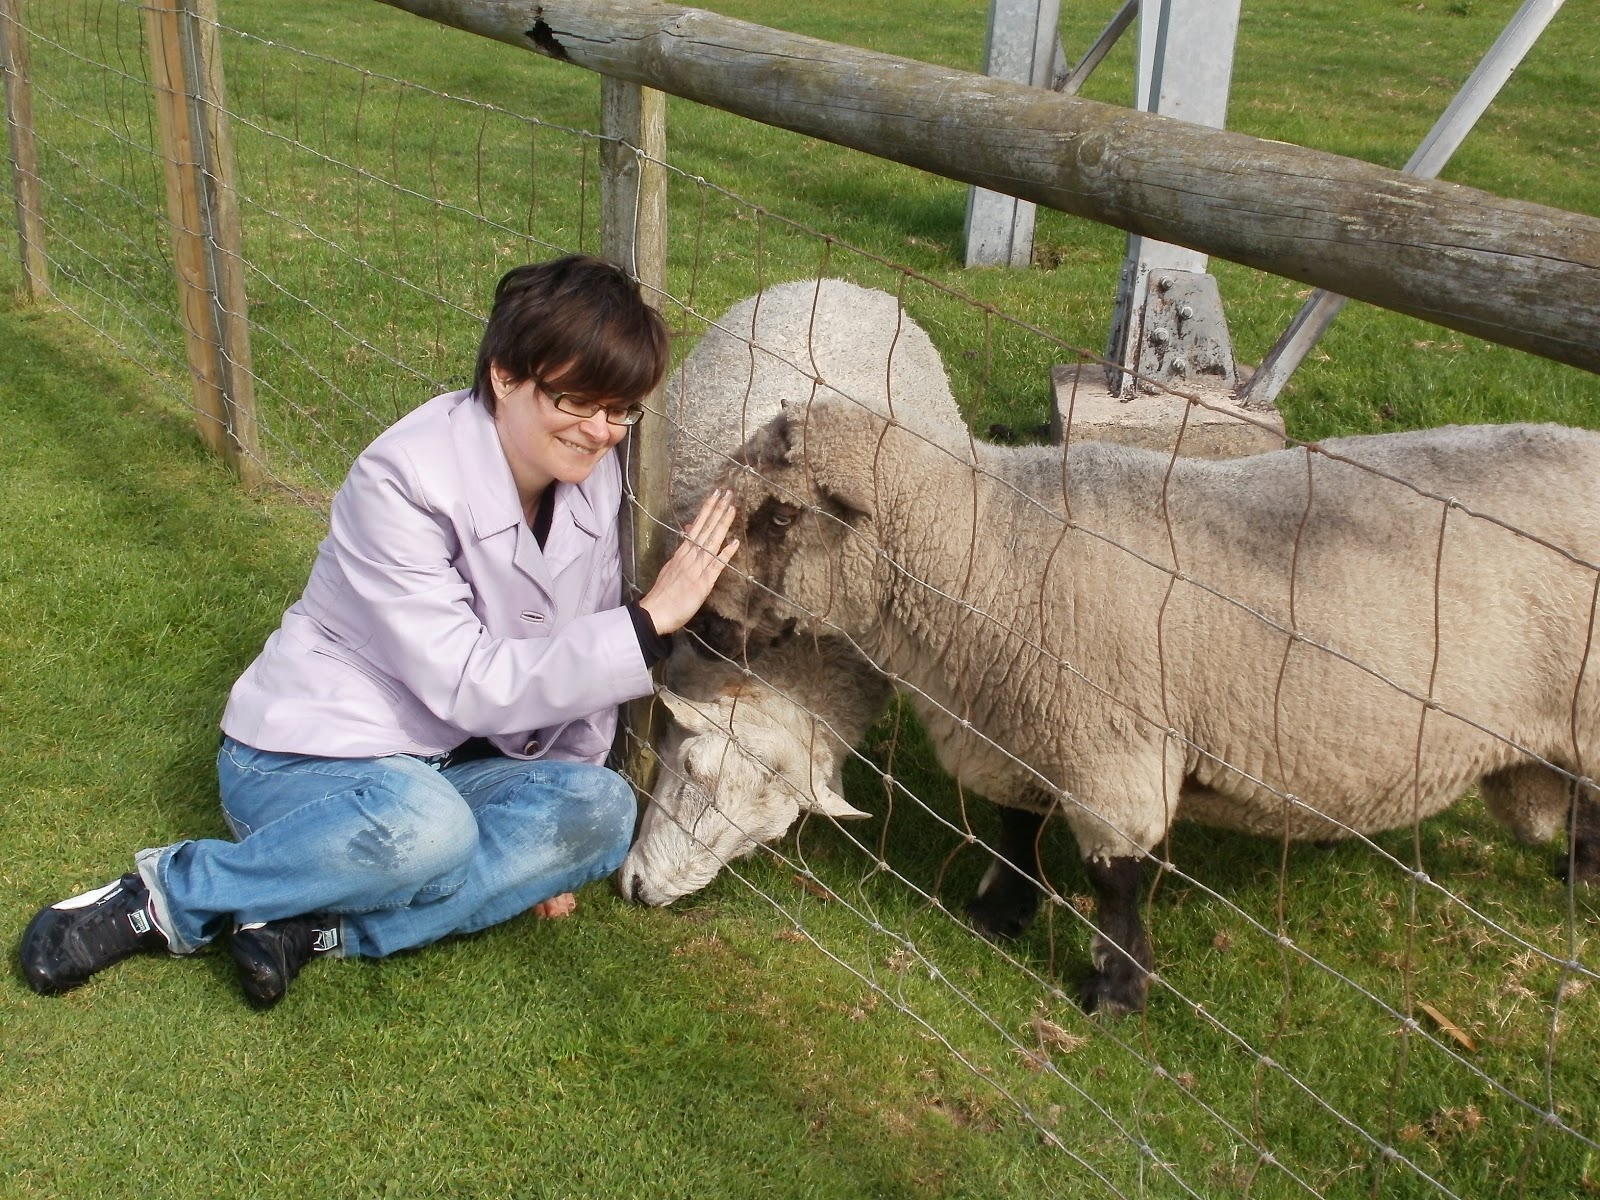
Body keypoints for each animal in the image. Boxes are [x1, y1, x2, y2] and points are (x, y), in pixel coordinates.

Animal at [690, 397, 1600, 1015]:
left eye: (779, 517)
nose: (701, 627)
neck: (988, 556)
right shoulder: (1020, 732)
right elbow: (1016, 829)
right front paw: (999, 914)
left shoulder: (1112, 750)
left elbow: (1114, 878)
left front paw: (1115, 992)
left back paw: (1582, 879)